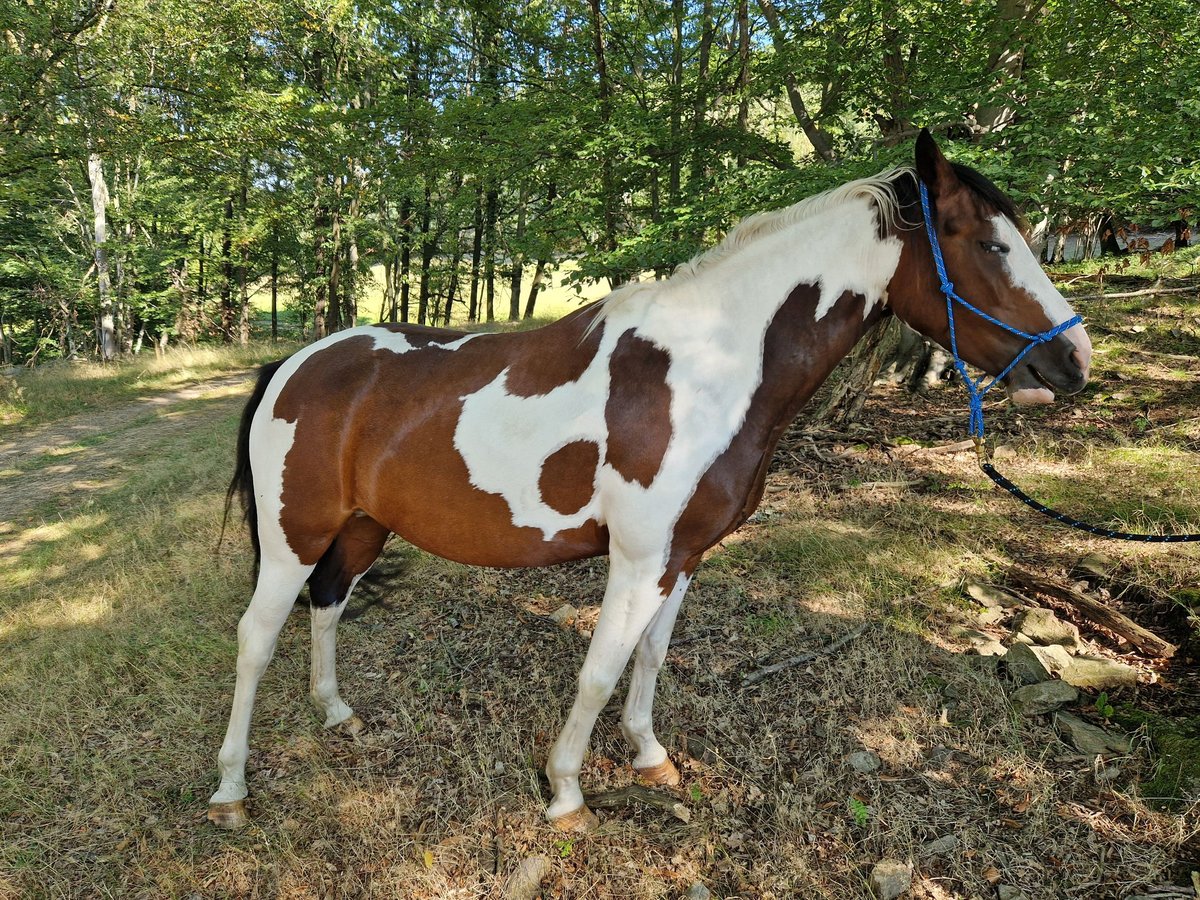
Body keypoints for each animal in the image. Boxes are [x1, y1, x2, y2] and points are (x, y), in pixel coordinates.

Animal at [209, 131, 1092, 832]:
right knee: (256, 638)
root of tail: (296, 361)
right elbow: (599, 670)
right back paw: (230, 791)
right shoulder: (636, 561)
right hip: (292, 536)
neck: (707, 368)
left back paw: (335, 713)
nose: (1073, 362)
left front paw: (649, 758)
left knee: (329, 605)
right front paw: (566, 794)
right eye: (991, 246)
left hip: (360, 526)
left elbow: (651, 658)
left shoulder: (683, 557)